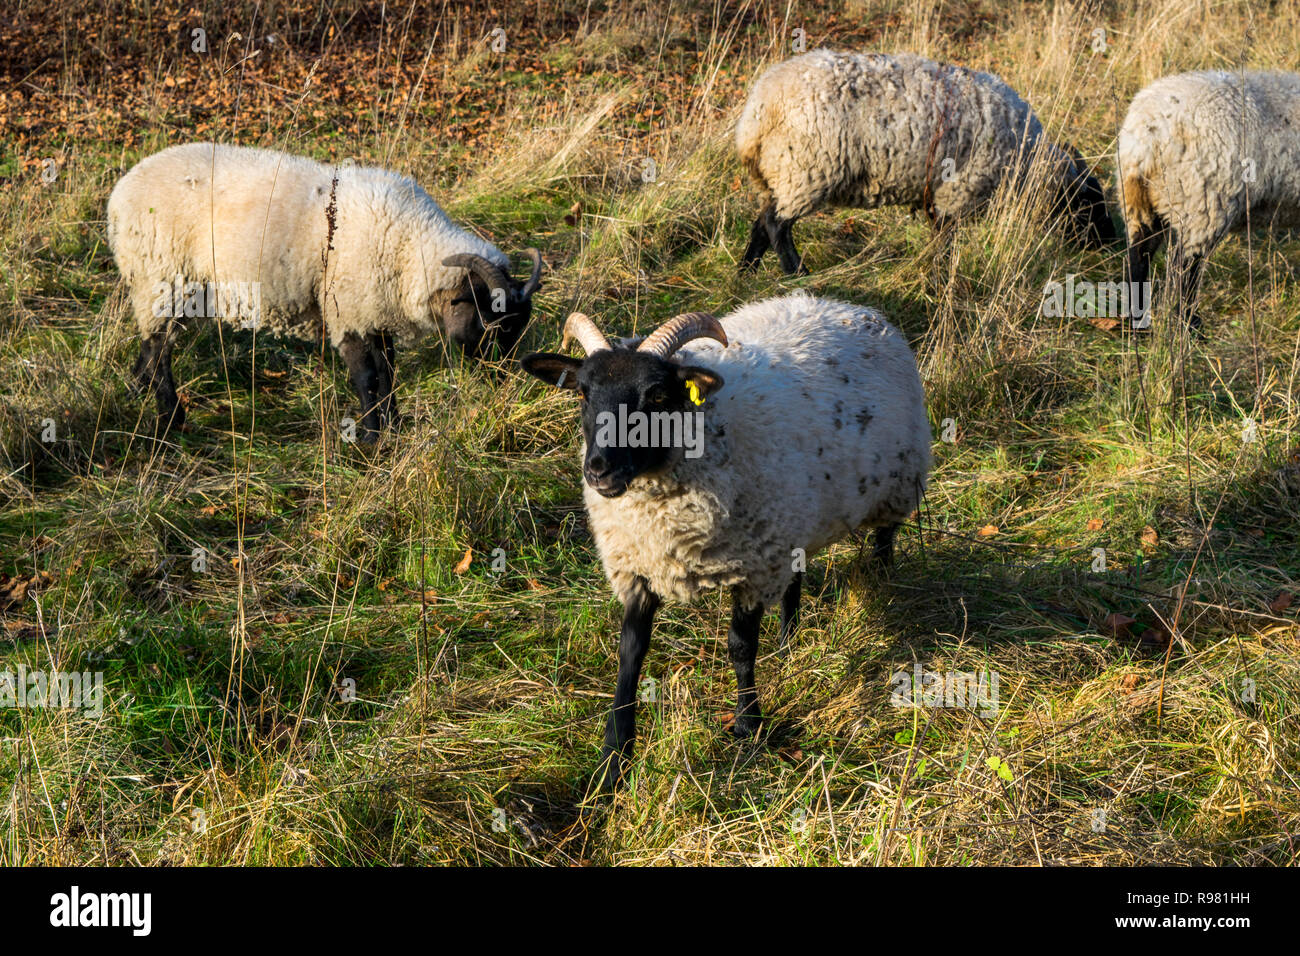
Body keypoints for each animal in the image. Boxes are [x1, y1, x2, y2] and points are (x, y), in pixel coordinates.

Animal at [107, 143, 542, 441]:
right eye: (491, 324)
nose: (504, 382)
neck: (408, 245)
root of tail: (121, 192)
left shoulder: (372, 311)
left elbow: (388, 372)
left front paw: (393, 425)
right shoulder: (347, 312)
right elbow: (368, 377)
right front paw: (371, 437)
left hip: (174, 288)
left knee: (152, 342)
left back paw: (138, 387)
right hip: (162, 276)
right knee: (160, 350)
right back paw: (170, 419)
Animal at [521, 294, 931, 787]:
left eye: (657, 396)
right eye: (583, 392)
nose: (598, 470)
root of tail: (849, 306)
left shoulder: (754, 567)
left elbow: (740, 647)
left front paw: (749, 725)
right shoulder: (638, 565)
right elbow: (629, 655)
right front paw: (613, 759)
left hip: (896, 484)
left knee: (885, 540)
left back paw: (880, 582)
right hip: (795, 514)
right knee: (795, 579)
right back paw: (789, 644)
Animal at [736, 50, 1116, 274]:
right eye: (1087, 205)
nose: (1111, 244)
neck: (1025, 158)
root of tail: (760, 109)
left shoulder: (937, 196)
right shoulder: (957, 194)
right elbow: (945, 242)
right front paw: (942, 274)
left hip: (780, 173)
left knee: (761, 222)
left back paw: (747, 271)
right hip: (806, 169)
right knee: (776, 224)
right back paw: (796, 273)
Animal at [1118, 69, 1300, 328]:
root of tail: (1147, 133)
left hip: (1140, 199)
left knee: (1140, 253)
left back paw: (1139, 321)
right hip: (1203, 202)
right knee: (1185, 267)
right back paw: (1189, 323)